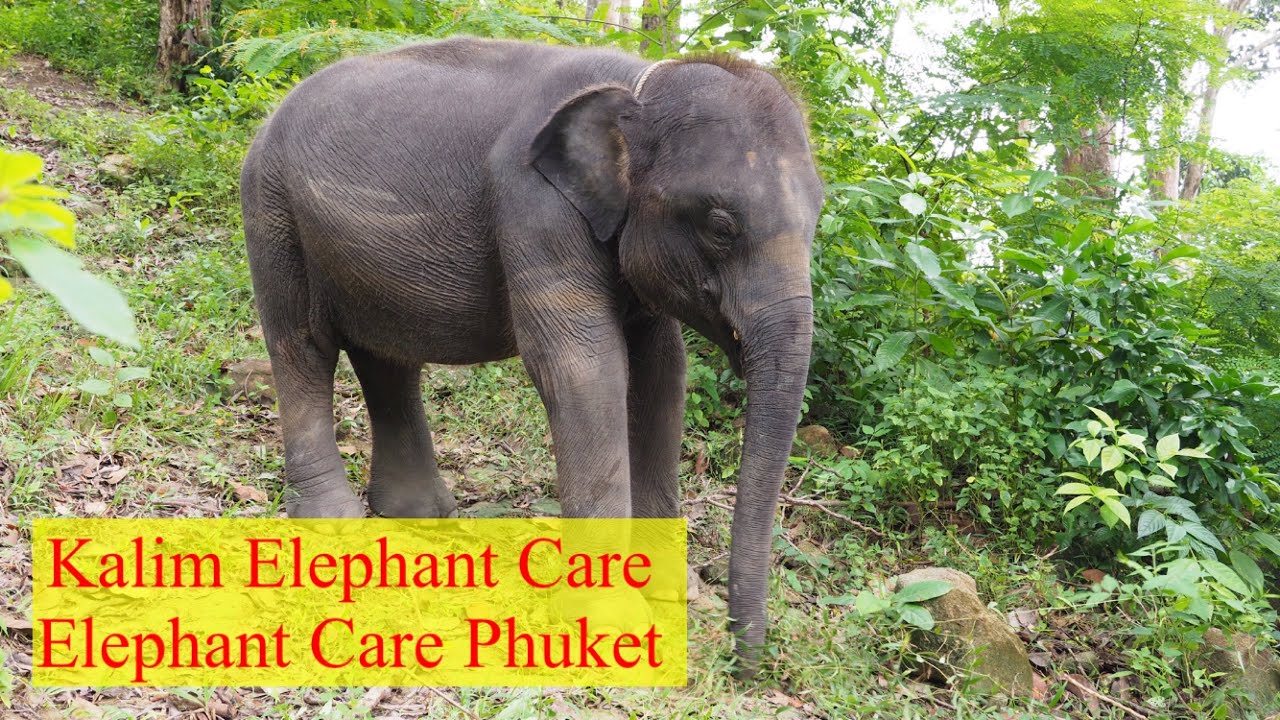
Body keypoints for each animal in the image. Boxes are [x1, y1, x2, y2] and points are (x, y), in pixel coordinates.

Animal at [240, 36, 824, 676]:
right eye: (721, 226)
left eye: (817, 222)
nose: (742, 662)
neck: (637, 83)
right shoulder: (534, 207)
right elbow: (586, 367)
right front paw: (615, 624)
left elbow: (662, 372)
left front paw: (670, 591)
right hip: (271, 208)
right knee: (303, 346)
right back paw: (333, 525)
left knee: (385, 356)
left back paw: (418, 515)